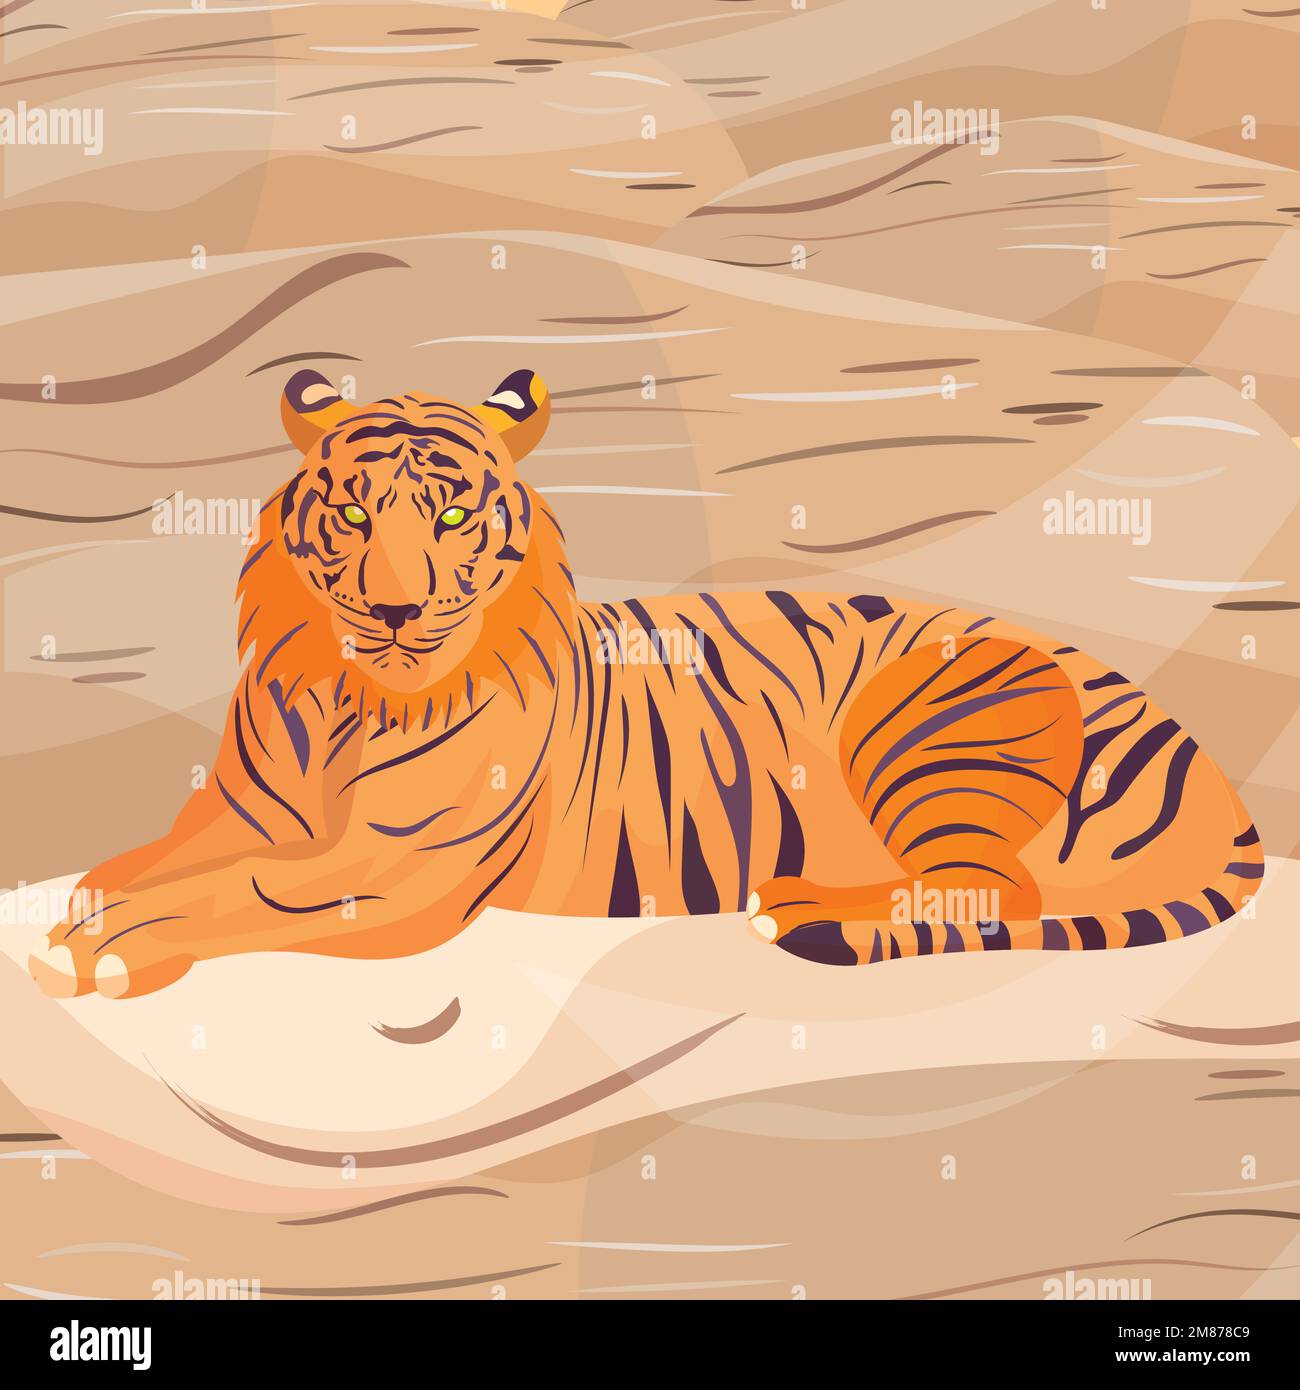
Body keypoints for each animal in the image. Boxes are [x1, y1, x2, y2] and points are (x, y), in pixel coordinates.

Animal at [28, 369, 1264, 999]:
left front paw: (100, 946)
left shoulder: (391, 867)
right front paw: (90, 906)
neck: (345, 696)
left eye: (452, 513)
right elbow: (147, 863)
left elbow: (245, 892)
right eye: (350, 513)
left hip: (931, 725)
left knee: (991, 892)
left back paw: (803, 910)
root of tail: (1184, 736)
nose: (393, 611)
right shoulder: (239, 815)